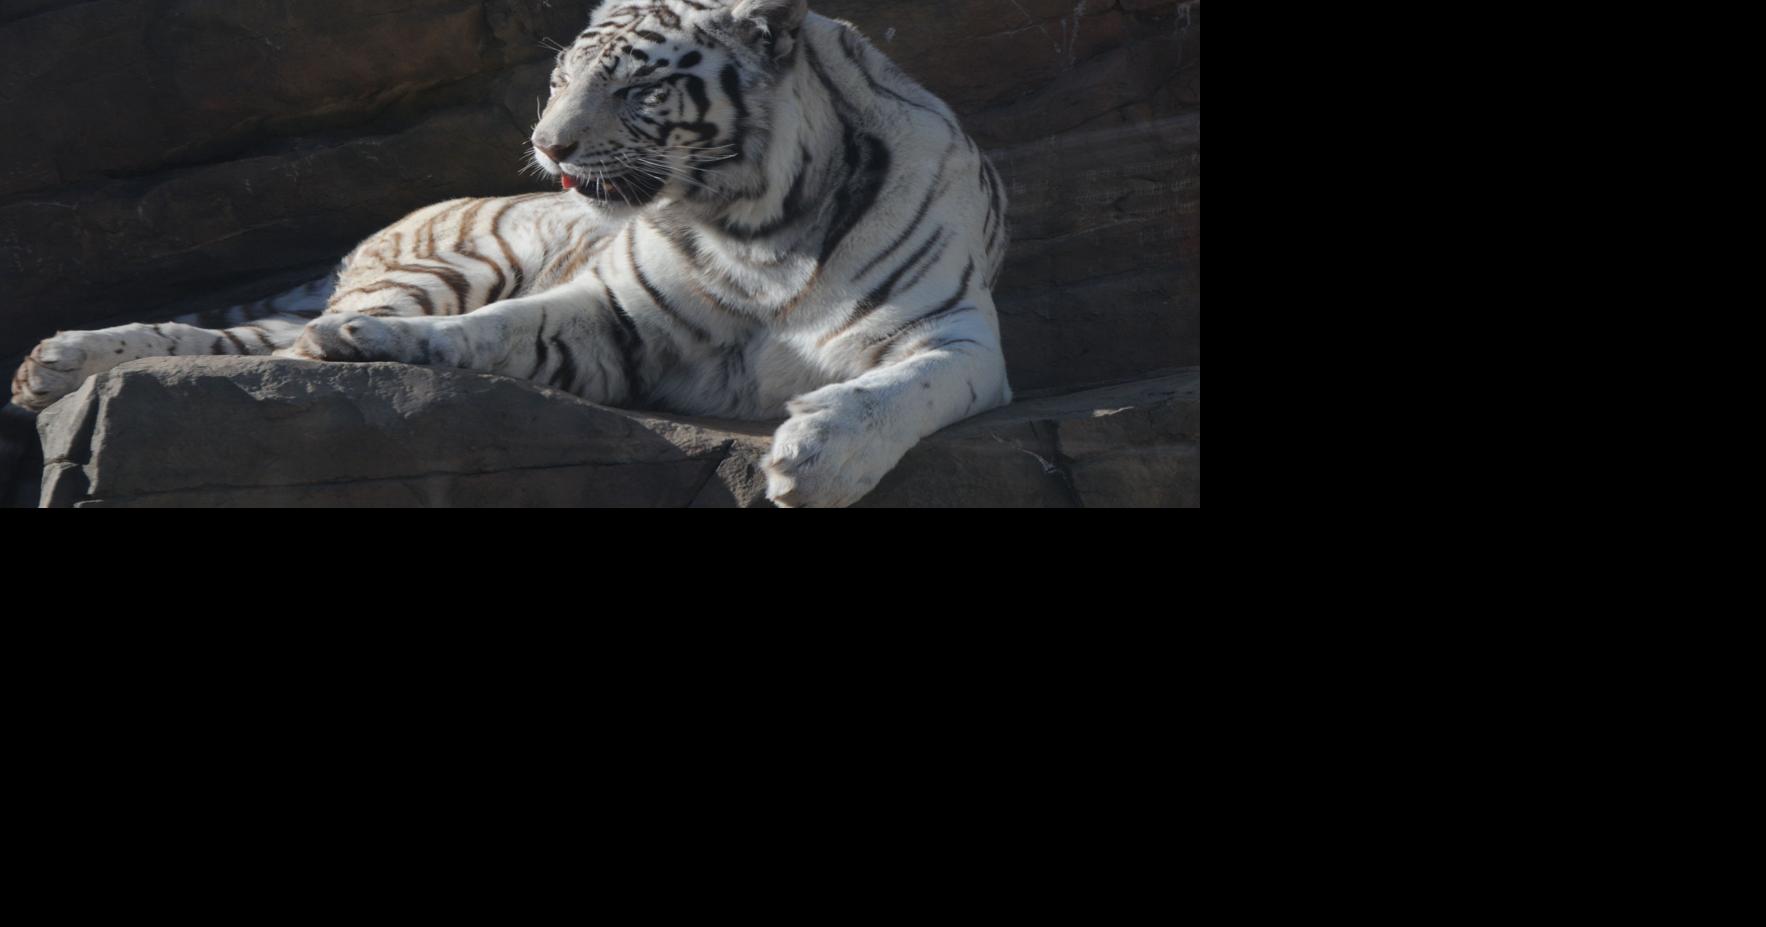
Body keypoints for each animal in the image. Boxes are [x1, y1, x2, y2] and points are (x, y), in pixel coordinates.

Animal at [9, 0, 1013, 508]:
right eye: (563, 76)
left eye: (638, 87)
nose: (547, 144)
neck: (754, 227)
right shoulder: (618, 319)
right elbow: (491, 333)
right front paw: (368, 351)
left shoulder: (955, 339)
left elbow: (902, 391)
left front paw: (819, 458)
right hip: (450, 262)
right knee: (256, 336)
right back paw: (54, 363)